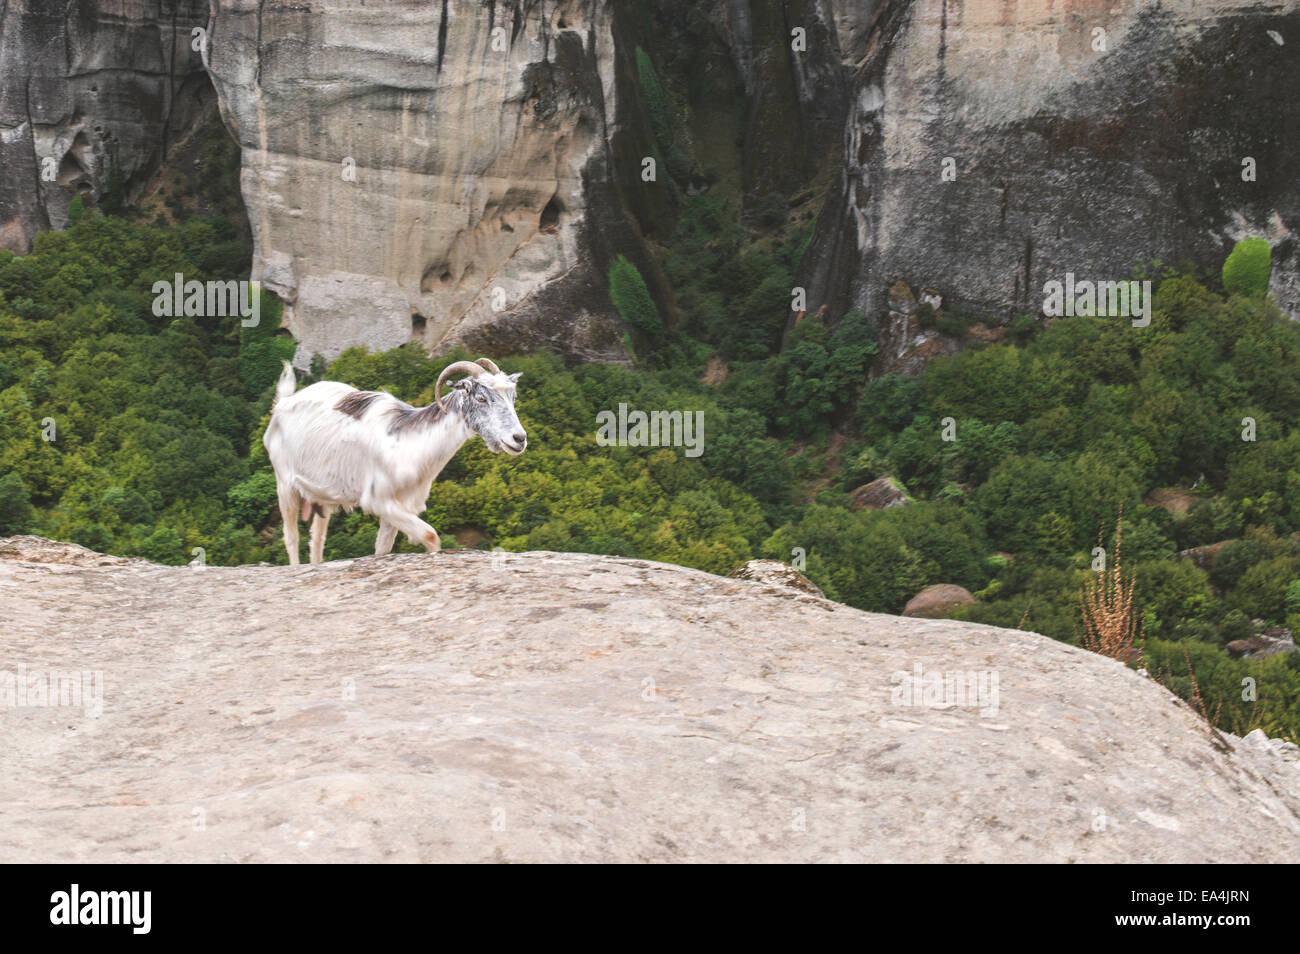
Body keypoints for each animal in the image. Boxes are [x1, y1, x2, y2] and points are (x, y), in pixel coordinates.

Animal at [263, 357, 526, 565]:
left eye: (513, 397)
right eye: (481, 398)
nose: (519, 439)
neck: (408, 444)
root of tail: (283, 403)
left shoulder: (398, 507)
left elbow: (382, 550)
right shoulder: (378, 500)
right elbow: (431, 536)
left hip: (322, 497)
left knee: (317, 540)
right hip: (285, 484)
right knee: (291, 536)